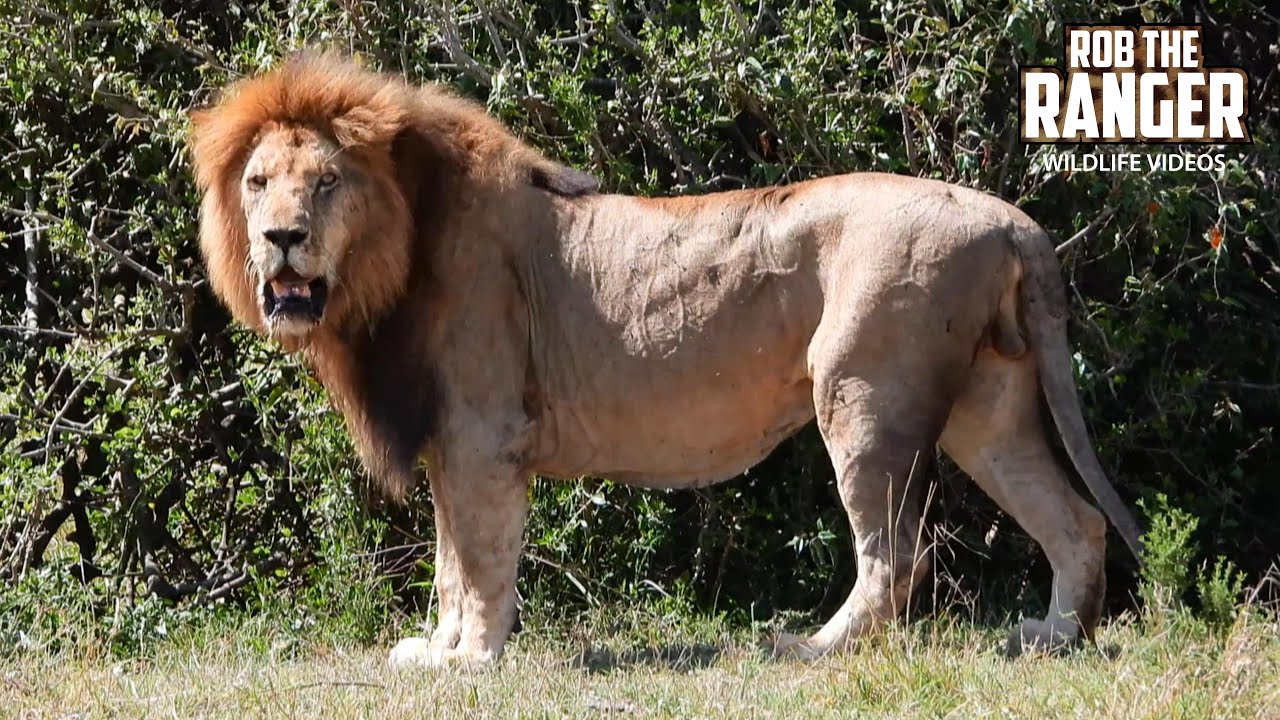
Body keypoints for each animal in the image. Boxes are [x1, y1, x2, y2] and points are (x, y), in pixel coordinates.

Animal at [189, 53, 1143, 667]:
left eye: (326, 183)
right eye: (257, 184)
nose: (281, 239)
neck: (396, 255)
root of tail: (1010, 217)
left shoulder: (482, 433)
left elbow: (481, 558)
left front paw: (472, 660)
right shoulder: (449, 444)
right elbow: (452, 560)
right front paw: (439, 649)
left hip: (867, 395)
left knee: (896, 554)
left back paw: (810, 648)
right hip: (990, 405)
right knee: (1075, 519)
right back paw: (1053, 639)